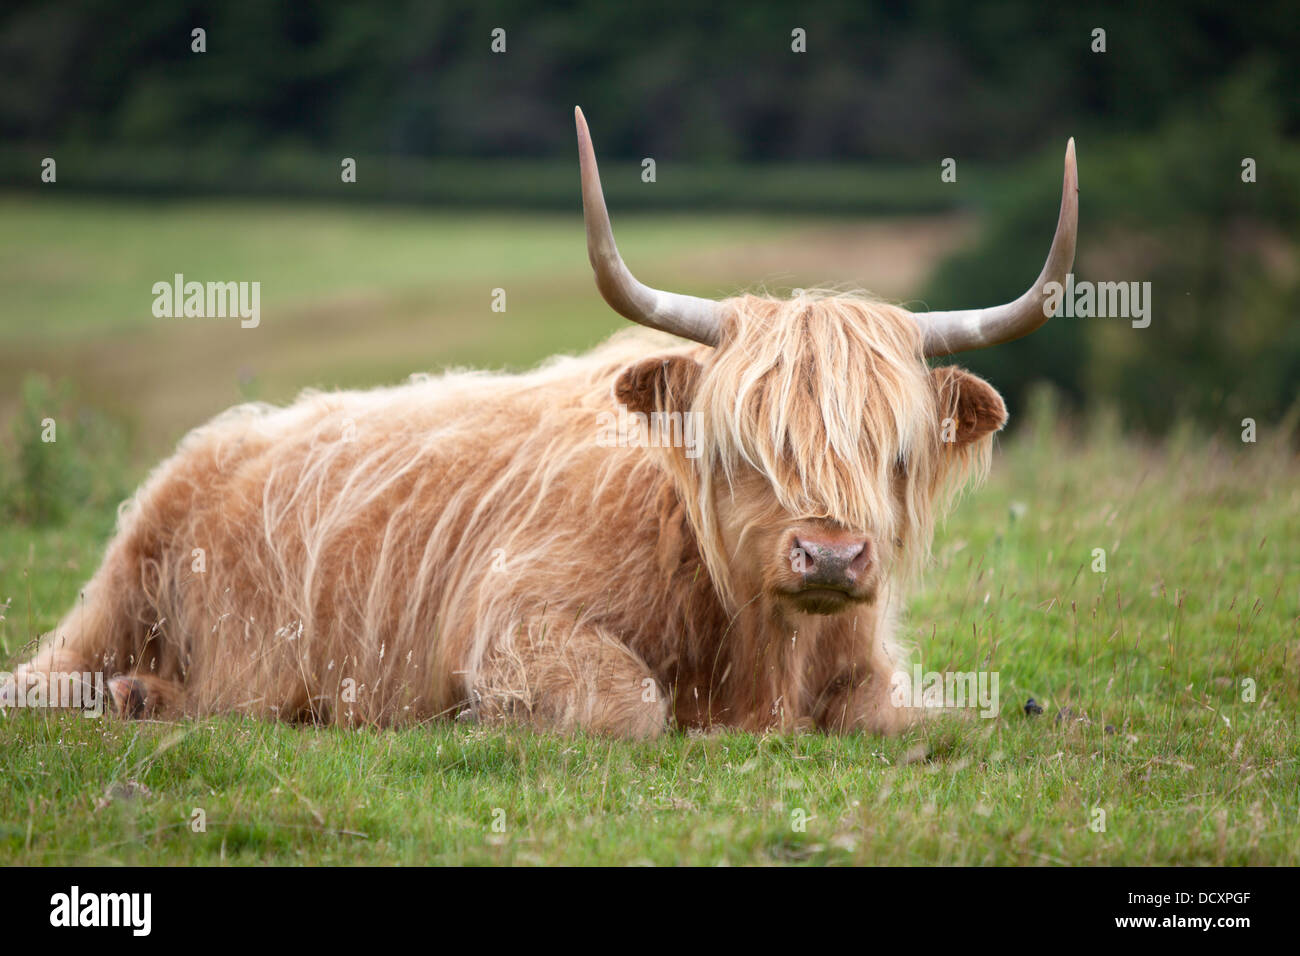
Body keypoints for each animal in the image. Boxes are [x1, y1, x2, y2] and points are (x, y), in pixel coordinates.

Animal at [3, 108, 1077, 738]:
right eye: (741, 444)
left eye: (893, 450)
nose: (831, 556)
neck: (759, 655)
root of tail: (234, 430)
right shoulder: (515, 619)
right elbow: (632, 708)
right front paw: (478, 723)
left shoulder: (872, 676)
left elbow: (927, 719)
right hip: (117, 594)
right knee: (41, 675)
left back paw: (151, 698)